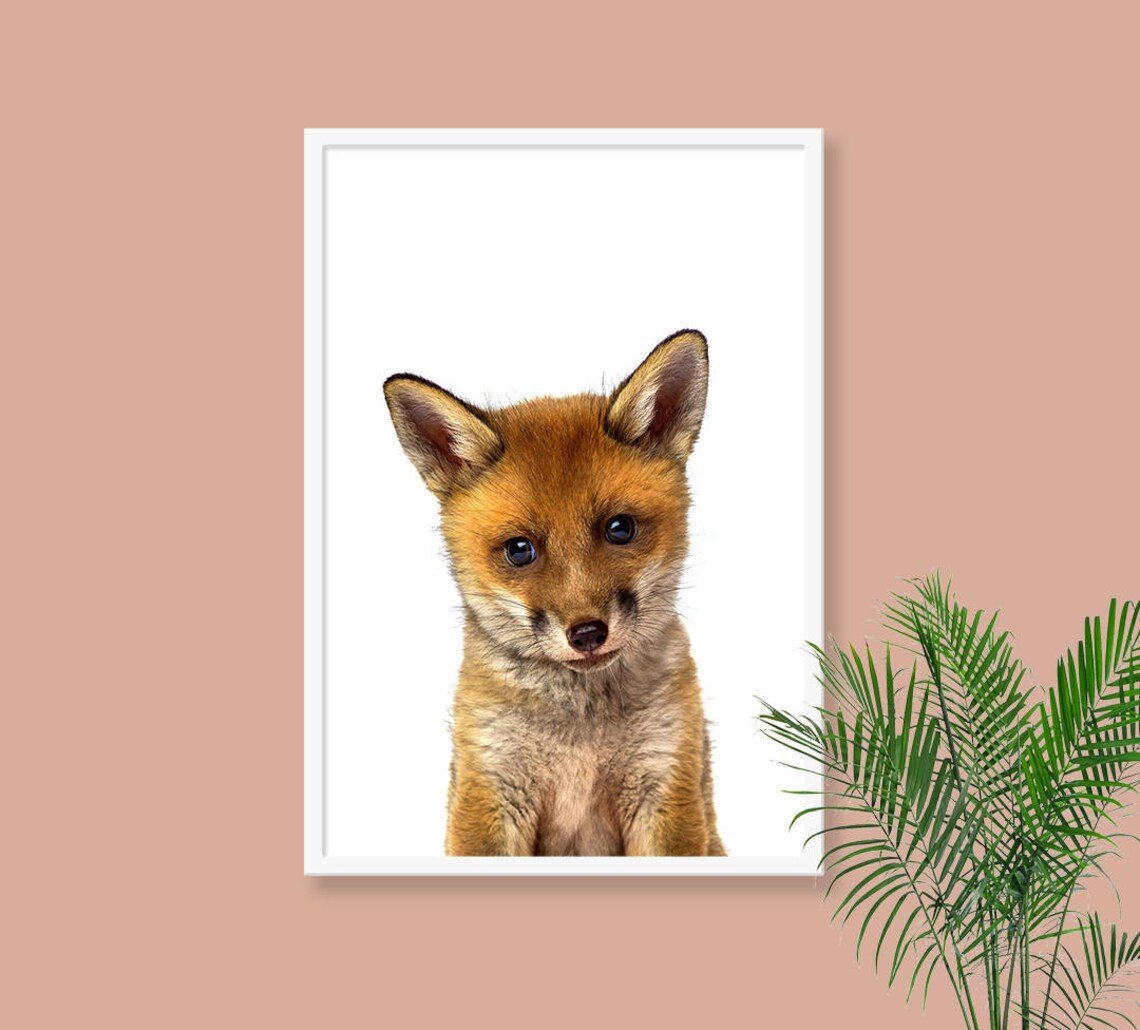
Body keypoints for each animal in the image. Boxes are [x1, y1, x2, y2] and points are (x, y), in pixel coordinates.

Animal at [382, 329, 724, 856]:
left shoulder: (666, 783)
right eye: (519, 550)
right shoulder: (489, 791)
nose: (587, 634)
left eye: (619, 529)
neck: (580, 737)